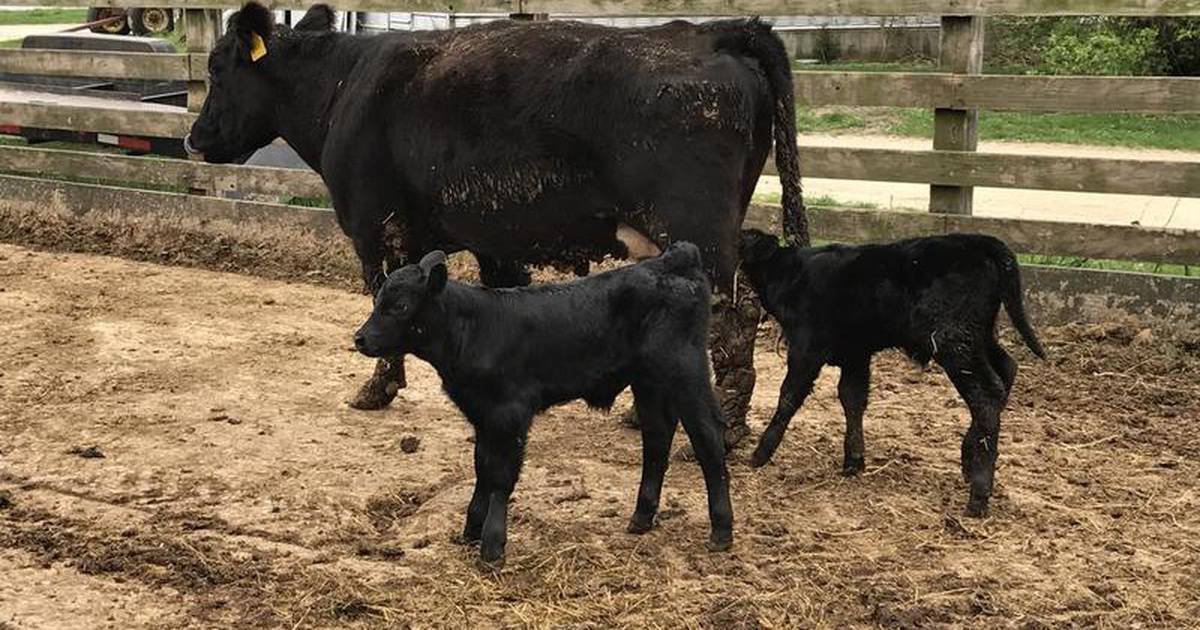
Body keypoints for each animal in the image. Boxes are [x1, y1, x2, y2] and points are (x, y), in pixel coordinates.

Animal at [183, 2, 808, 445]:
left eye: (216, 69)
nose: (193, 138)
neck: (341, 88)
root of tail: (709, 32)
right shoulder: (494, 242)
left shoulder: (377, 228)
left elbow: (385, 301)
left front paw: (377, 388)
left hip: (696, 225)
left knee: (736, 313)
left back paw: (729, 423)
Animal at [354, 244, 733, 567]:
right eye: (378, 300)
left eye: (400, 306)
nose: (360, 338)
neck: (473, 331)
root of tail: (674, 258)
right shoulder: (483, 415)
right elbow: (482, 468)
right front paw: (471, 530)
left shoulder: (510, 413)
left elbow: (501, 475)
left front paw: (492, 546)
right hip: (649, 381)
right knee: (657, 437)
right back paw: (641, 517)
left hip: (686, 371)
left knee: (707, 439)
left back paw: (721, 530)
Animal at [737, 229, 1046, 516]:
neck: (790, 274)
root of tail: (978, 240)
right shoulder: (855, 353)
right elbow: (852, 398)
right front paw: (854, 460)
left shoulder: (806, 348)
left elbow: (789, 396)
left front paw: (760, 454)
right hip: (979, 336)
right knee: (1006, 370)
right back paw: (968, 458)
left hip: (954, 341)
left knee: (987, 394)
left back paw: (978, 495)